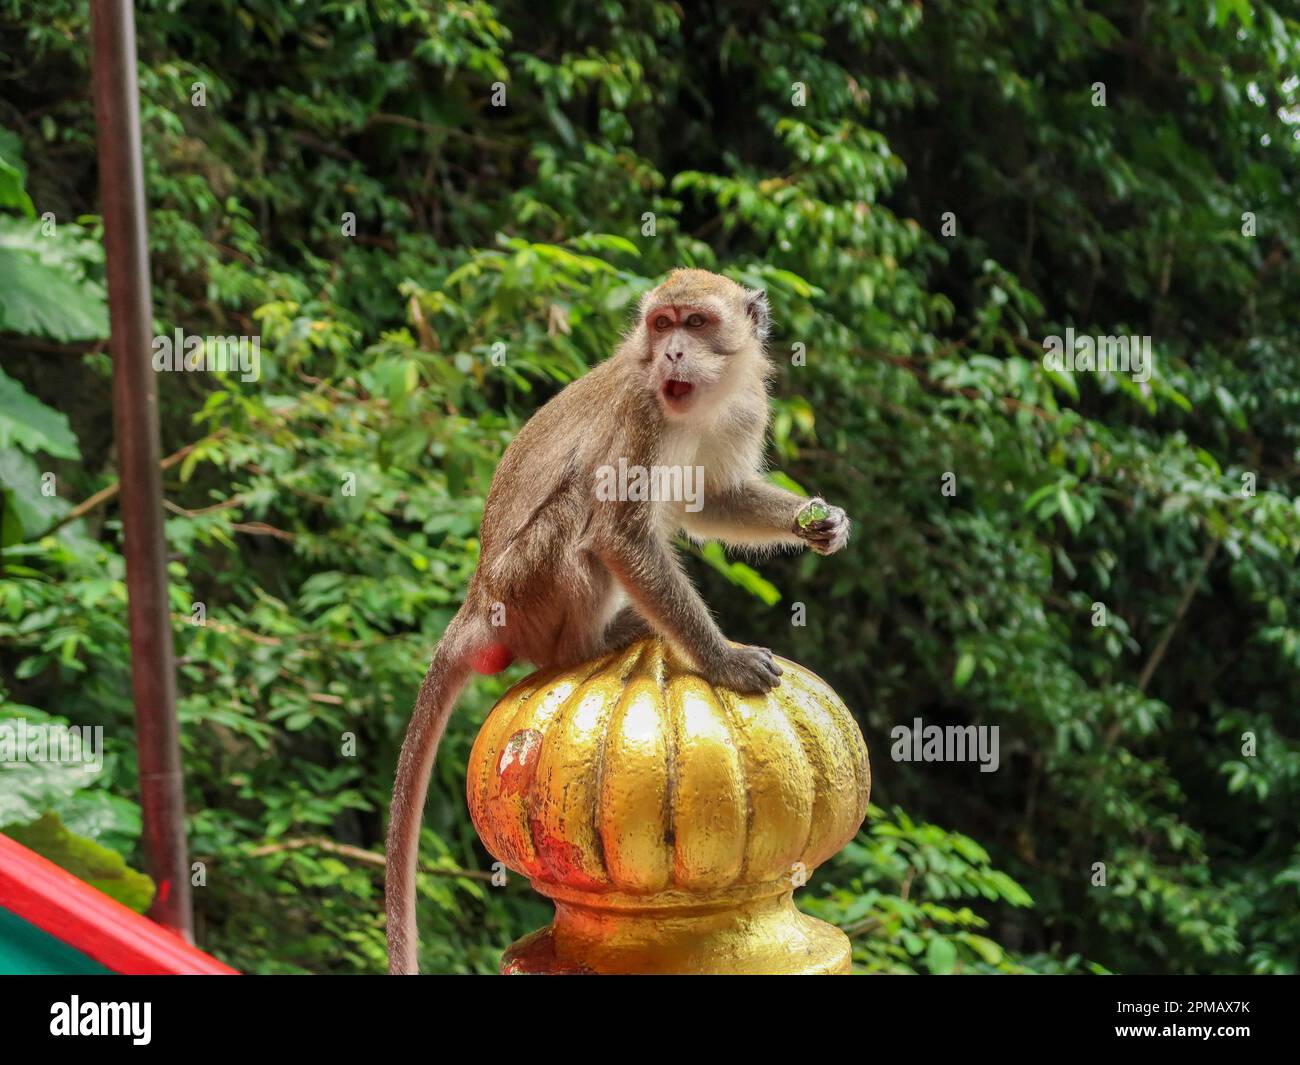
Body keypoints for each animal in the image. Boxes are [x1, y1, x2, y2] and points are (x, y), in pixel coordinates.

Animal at [385, 268, 851, 974]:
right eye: (662, 324)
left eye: (695, 323)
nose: (671, 354)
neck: (696, 403)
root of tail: (477, 600)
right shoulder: (641, 412)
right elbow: (621, 533)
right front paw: (723, 659)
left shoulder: (745, 406)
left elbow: (710, 499)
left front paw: (818, 522)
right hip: (527, 591)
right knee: (584, 501)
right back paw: (597, 639)